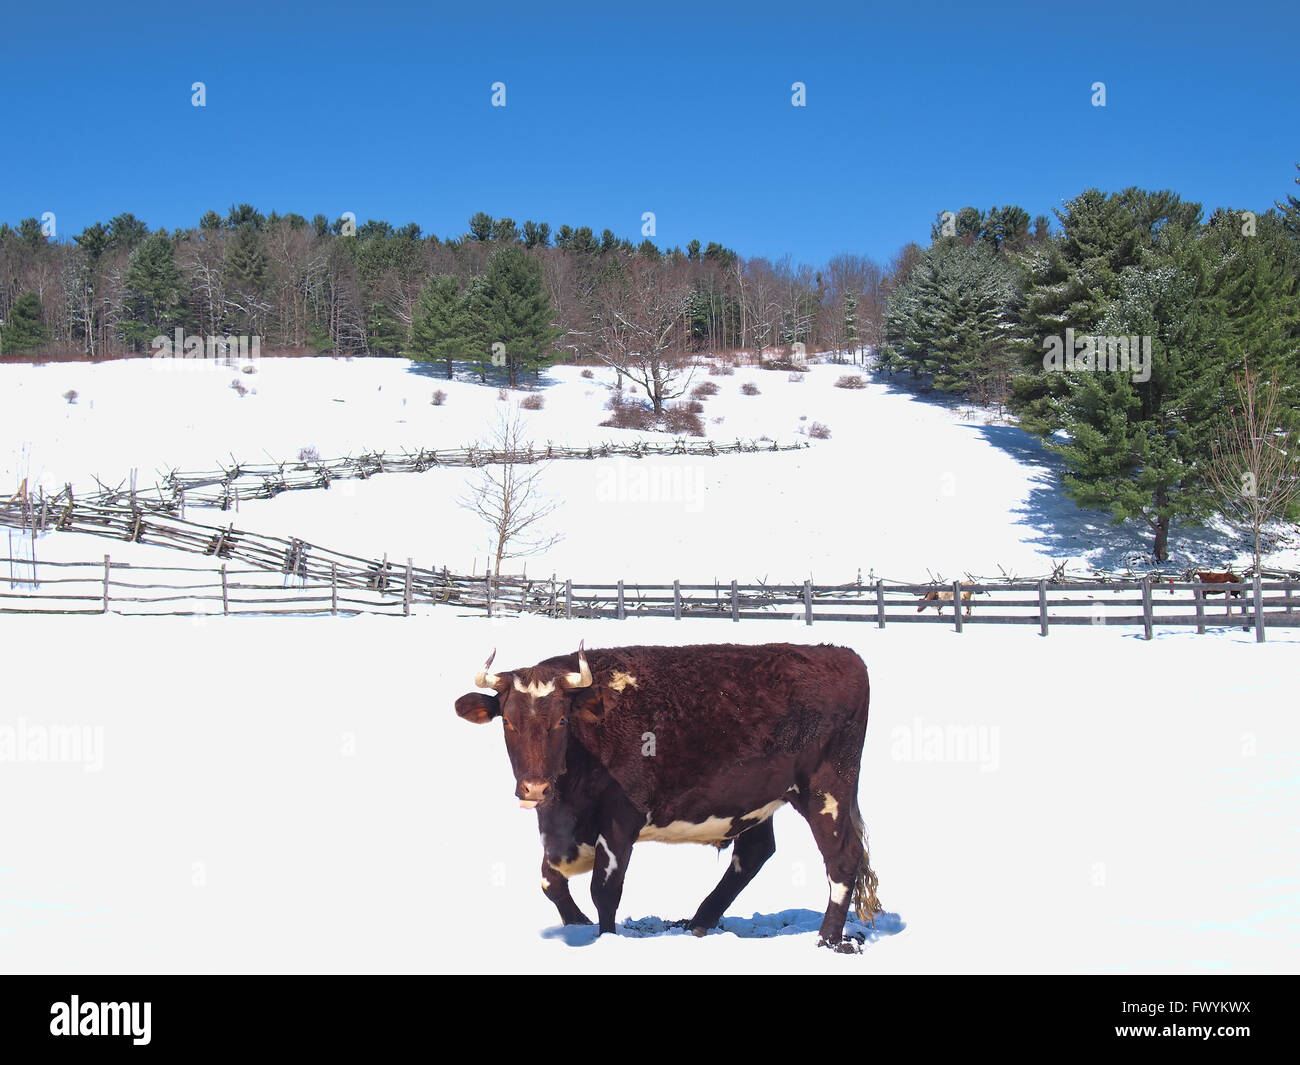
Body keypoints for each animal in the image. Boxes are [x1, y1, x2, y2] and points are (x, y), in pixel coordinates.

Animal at [454, 641, 882, 952]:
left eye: (561, 719)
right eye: (508, 722)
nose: (535, 788)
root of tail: (841, 654)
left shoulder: (620, 819)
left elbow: (604, 891)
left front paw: (605, 940)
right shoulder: (560, 829)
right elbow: (550, 882)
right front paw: (577, 924)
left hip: (827, 788)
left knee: (842, 858)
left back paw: (827, 940)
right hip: (755, 799)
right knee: (754, 853)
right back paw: (698, 924)